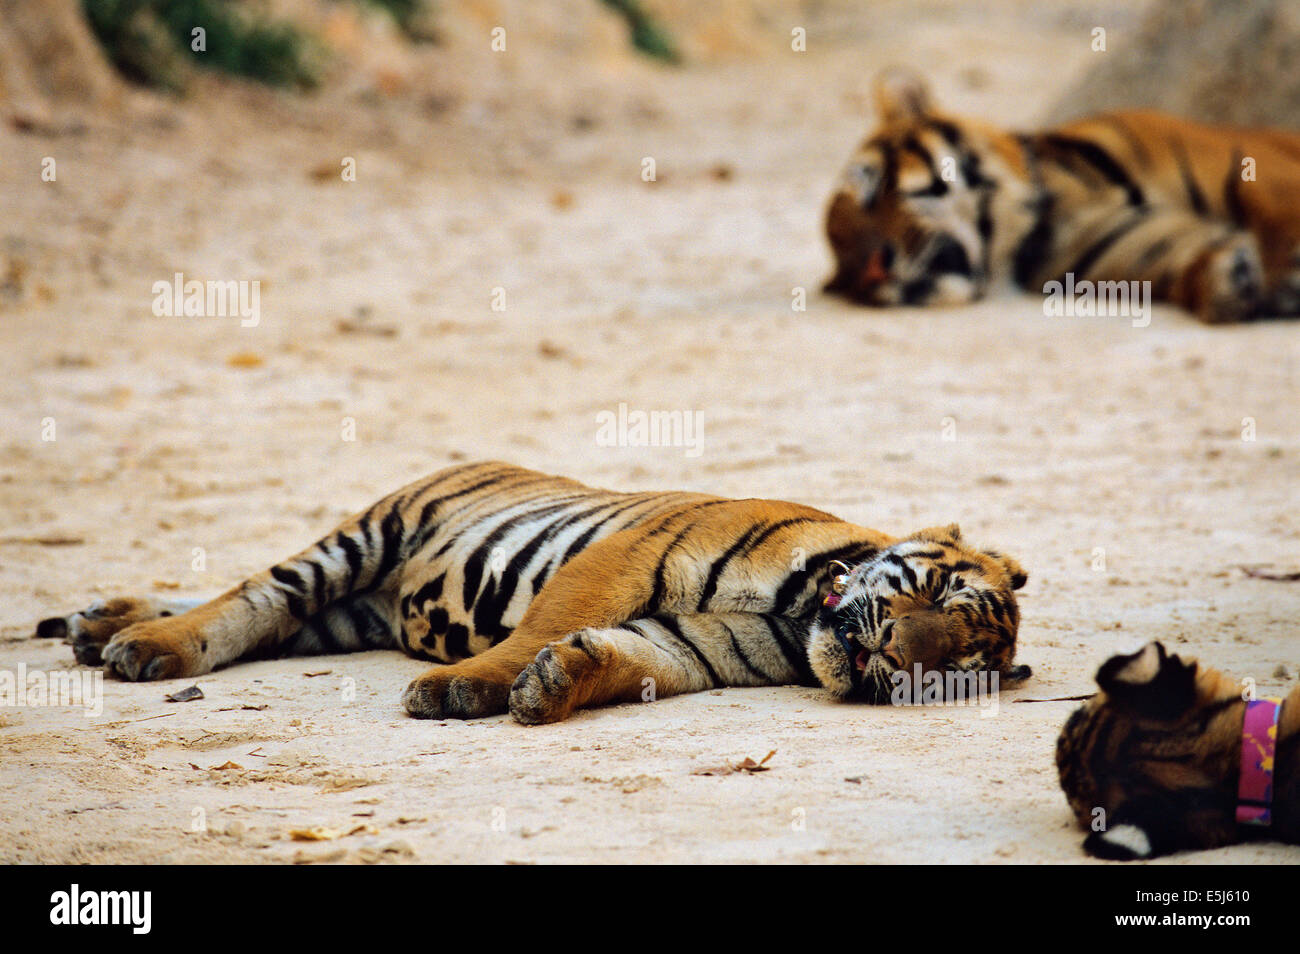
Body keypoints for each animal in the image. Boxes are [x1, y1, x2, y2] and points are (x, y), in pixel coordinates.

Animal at [35, 460, 1031, 724]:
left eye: (948, 666)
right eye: (932, 591)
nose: (894, 651)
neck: (799, 620)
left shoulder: (690, 645)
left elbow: (625, 657)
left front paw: (554, 684)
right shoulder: (631, 556)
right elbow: (549, 619)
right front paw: (463, 688)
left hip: (349, 613)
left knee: (269, 621)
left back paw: (101, 624)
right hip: (364, 538)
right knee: (251, 598)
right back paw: (143, 646)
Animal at [824, 69, 1300, 323]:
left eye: (873, 186)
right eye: (850, 278)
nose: (871, 272)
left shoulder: (1252, 164)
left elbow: (1278, 212)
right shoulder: (1140, 243)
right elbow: (1192, 263)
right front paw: (1229, 280)